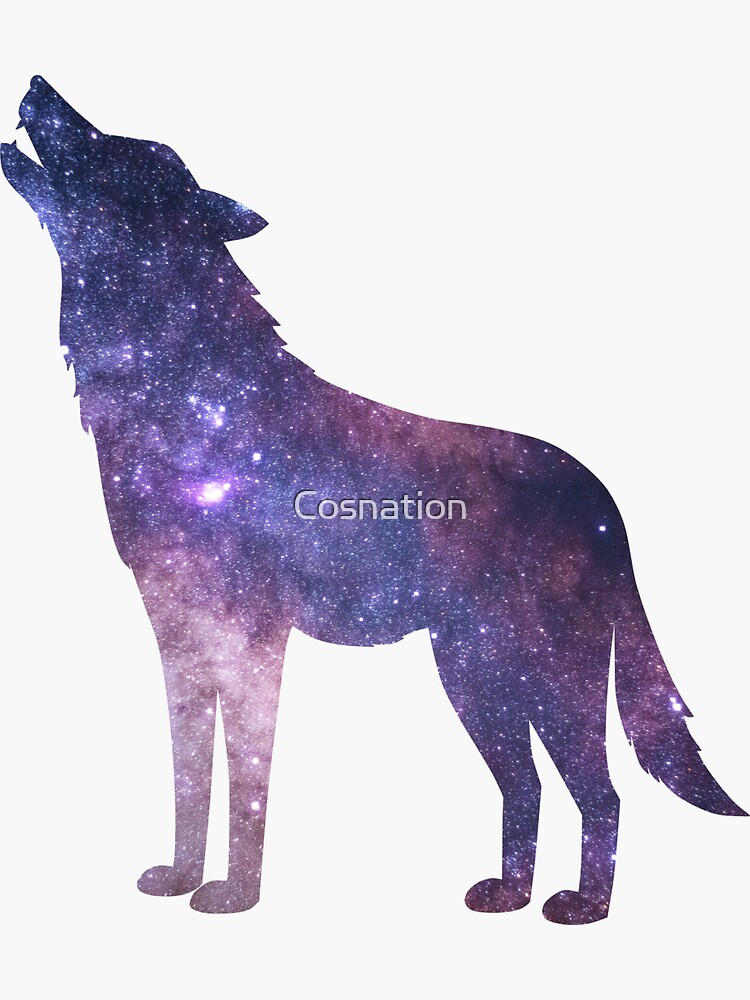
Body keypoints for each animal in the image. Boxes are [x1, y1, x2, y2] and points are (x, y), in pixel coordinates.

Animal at [2, 76, 744, 923]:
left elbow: (248, 782)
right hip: (476, 680)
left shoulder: (254, 640)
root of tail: (603, 495)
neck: (180, 394)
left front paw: (234, 896)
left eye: (110, 146)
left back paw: (581, 908)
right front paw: (181, 878)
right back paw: (508, 894)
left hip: (555, 682)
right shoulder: (177, 638)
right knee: (525, 784)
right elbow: (190, 777)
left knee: (604, 793)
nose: (36, 84)